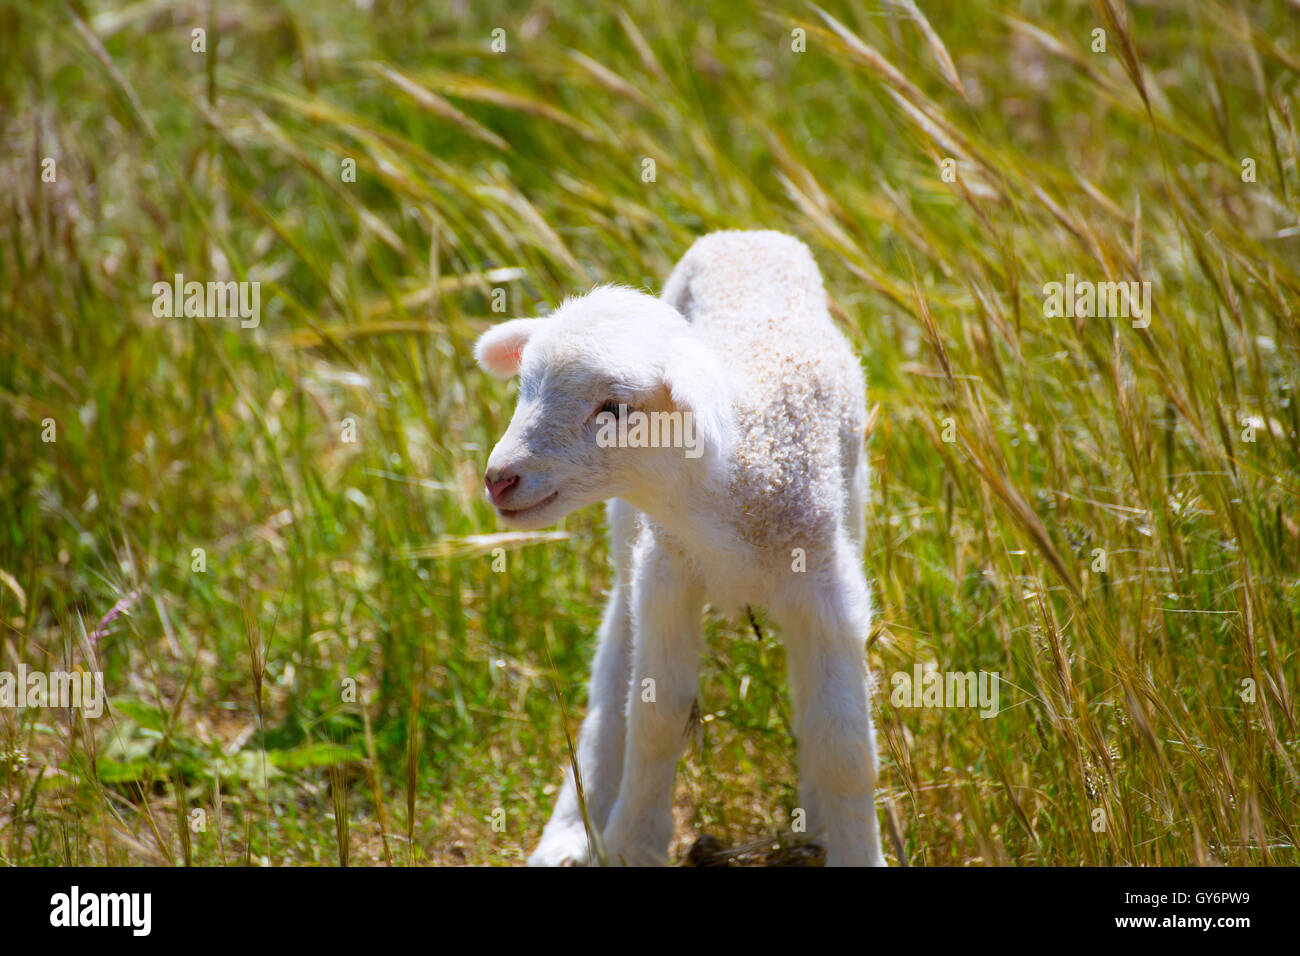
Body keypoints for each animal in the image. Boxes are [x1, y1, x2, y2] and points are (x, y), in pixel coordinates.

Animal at [474, 230, 884, 866]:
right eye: (524, 388)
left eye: (615, 408)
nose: (499, 479)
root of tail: (746, 234)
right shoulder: (668, 573)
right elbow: (656, 716)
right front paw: (630, 844)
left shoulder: (826, 585)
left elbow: (841, 742)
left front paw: (855, 845)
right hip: (630, 542)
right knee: (613, 674)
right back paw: (568, 831)